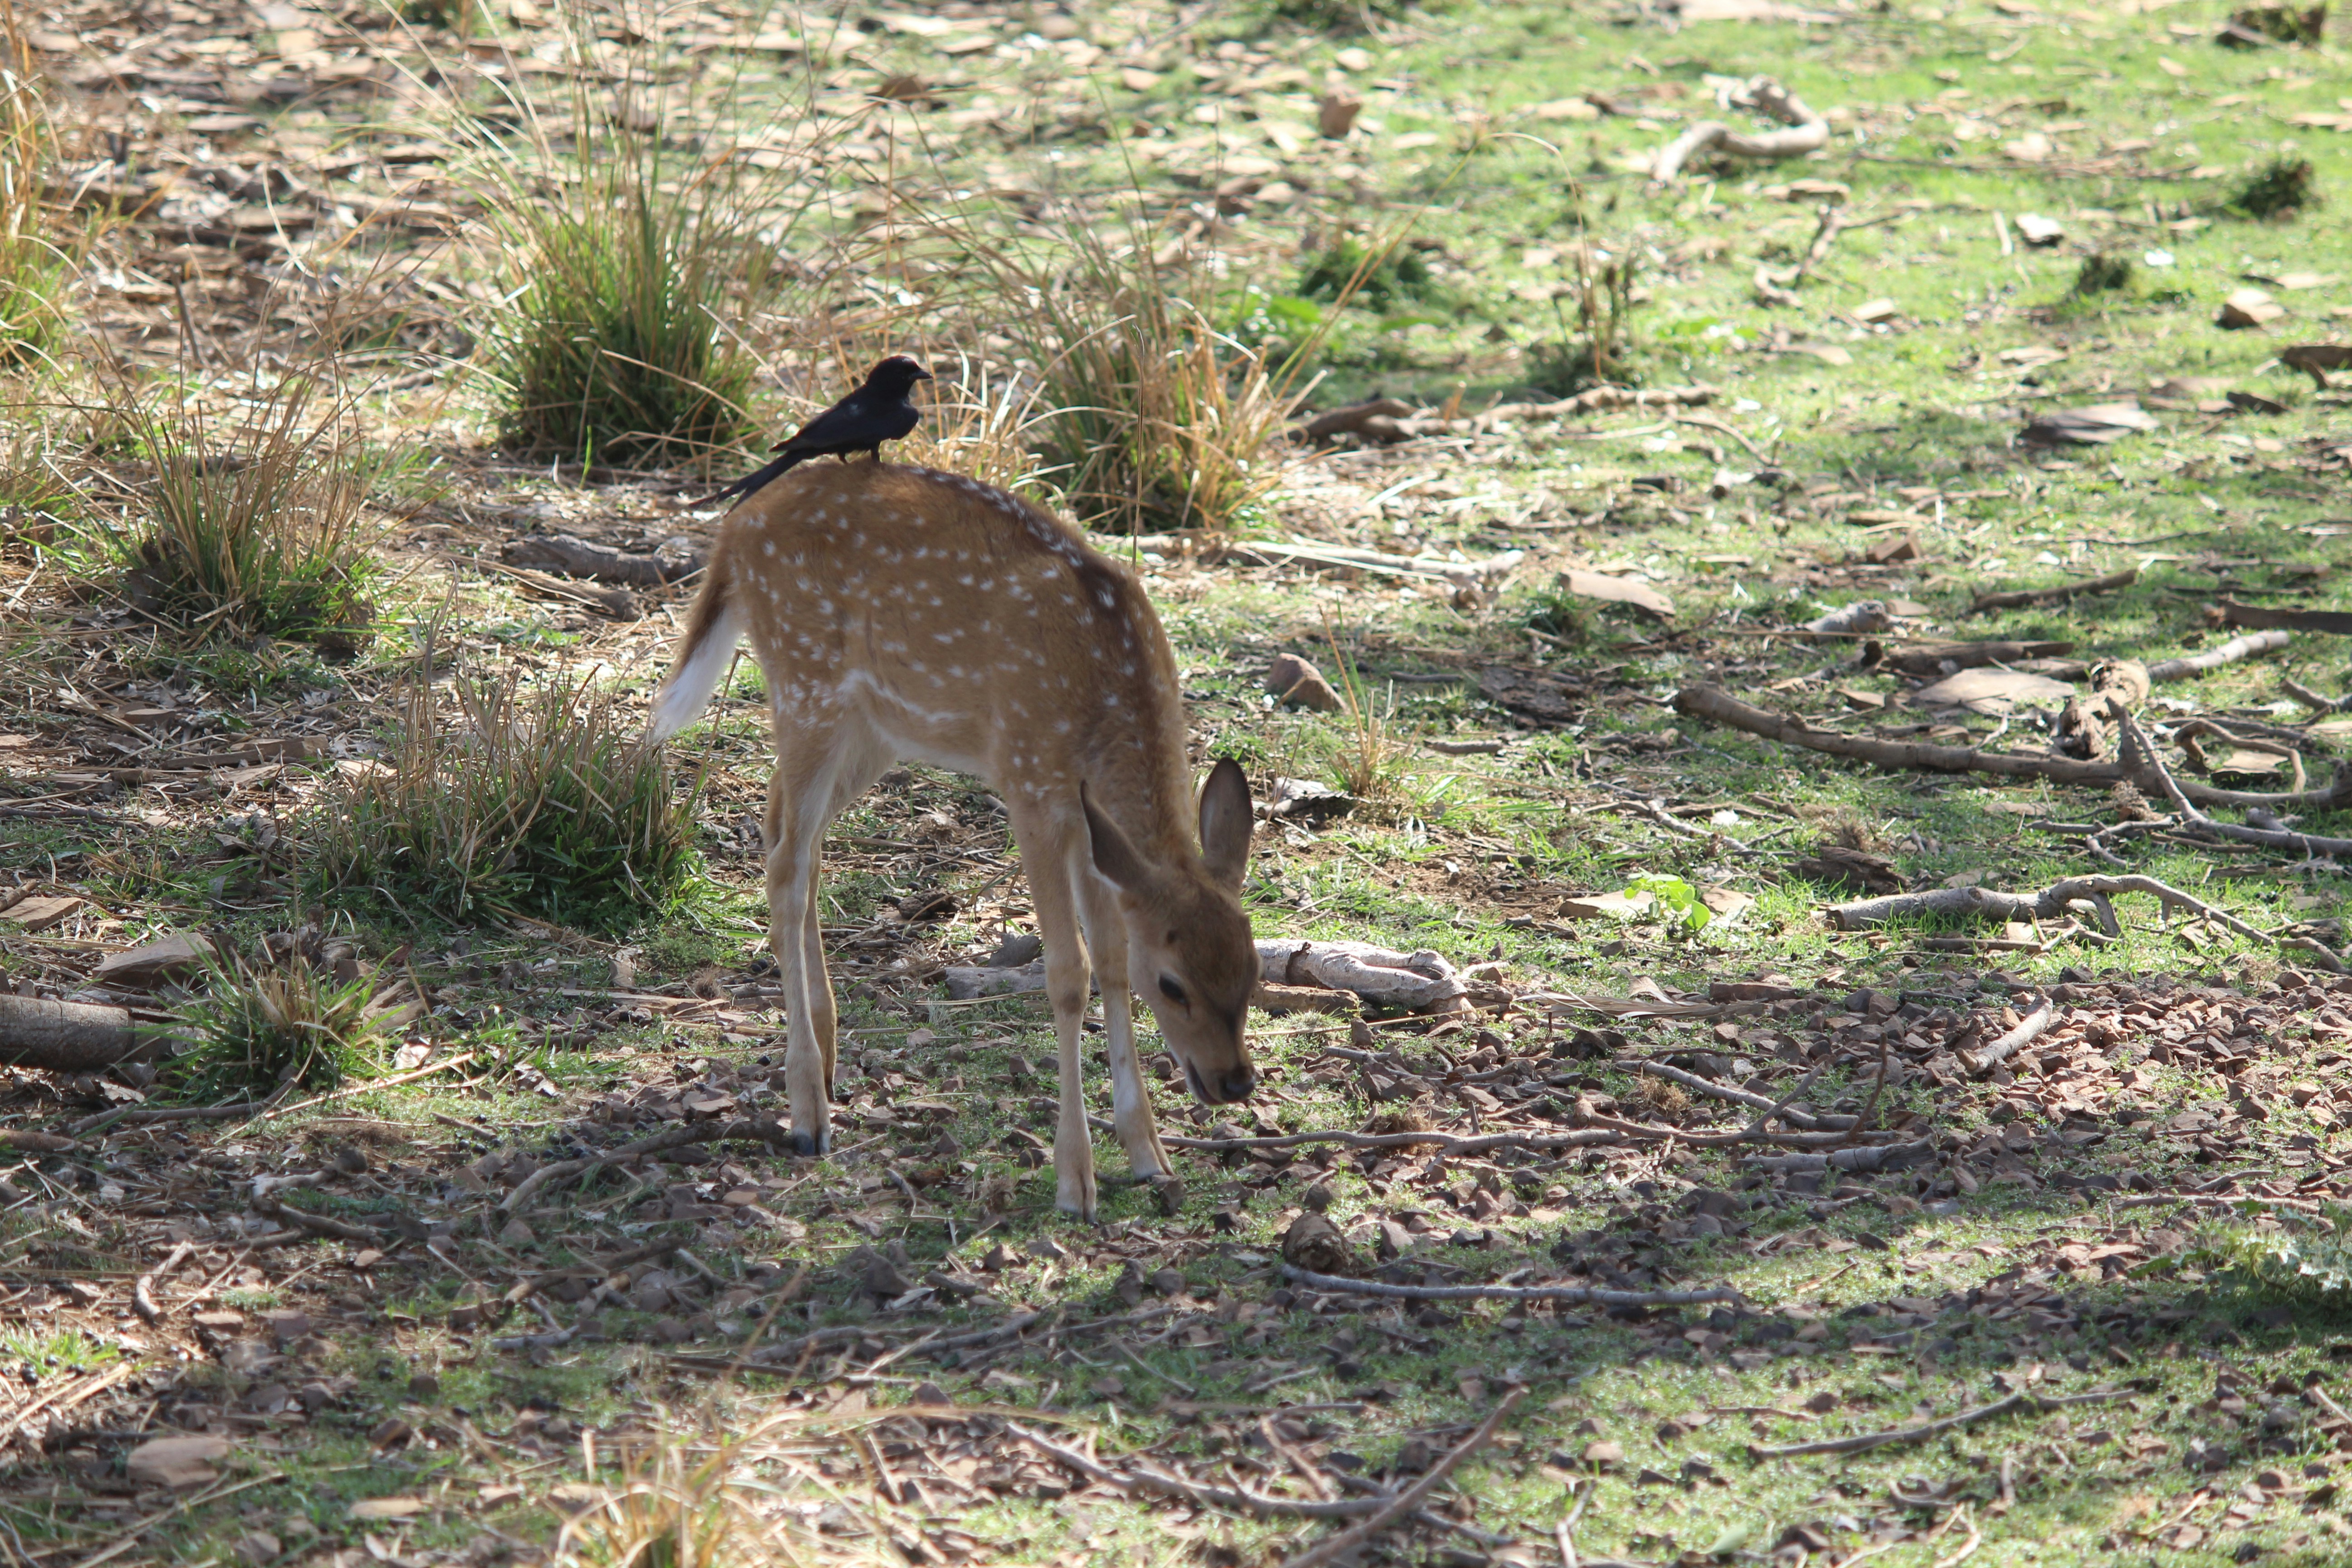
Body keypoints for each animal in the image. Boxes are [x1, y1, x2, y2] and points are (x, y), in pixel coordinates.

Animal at [647, 460, 1260, 1220]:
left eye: (1253, 969)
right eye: (1174, 985)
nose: (1234, 1081)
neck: (1103, 703)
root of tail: (732, 534)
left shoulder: (1094, 828)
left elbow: (1113, 960)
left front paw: (1148, 1153)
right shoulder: (1030, 781)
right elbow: (1070, 973)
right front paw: (1075, 1181)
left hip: (872, 727)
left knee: (788, 830)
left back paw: (829, 1050)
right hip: (805, 681)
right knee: (787, 862)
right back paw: (808, 1111)